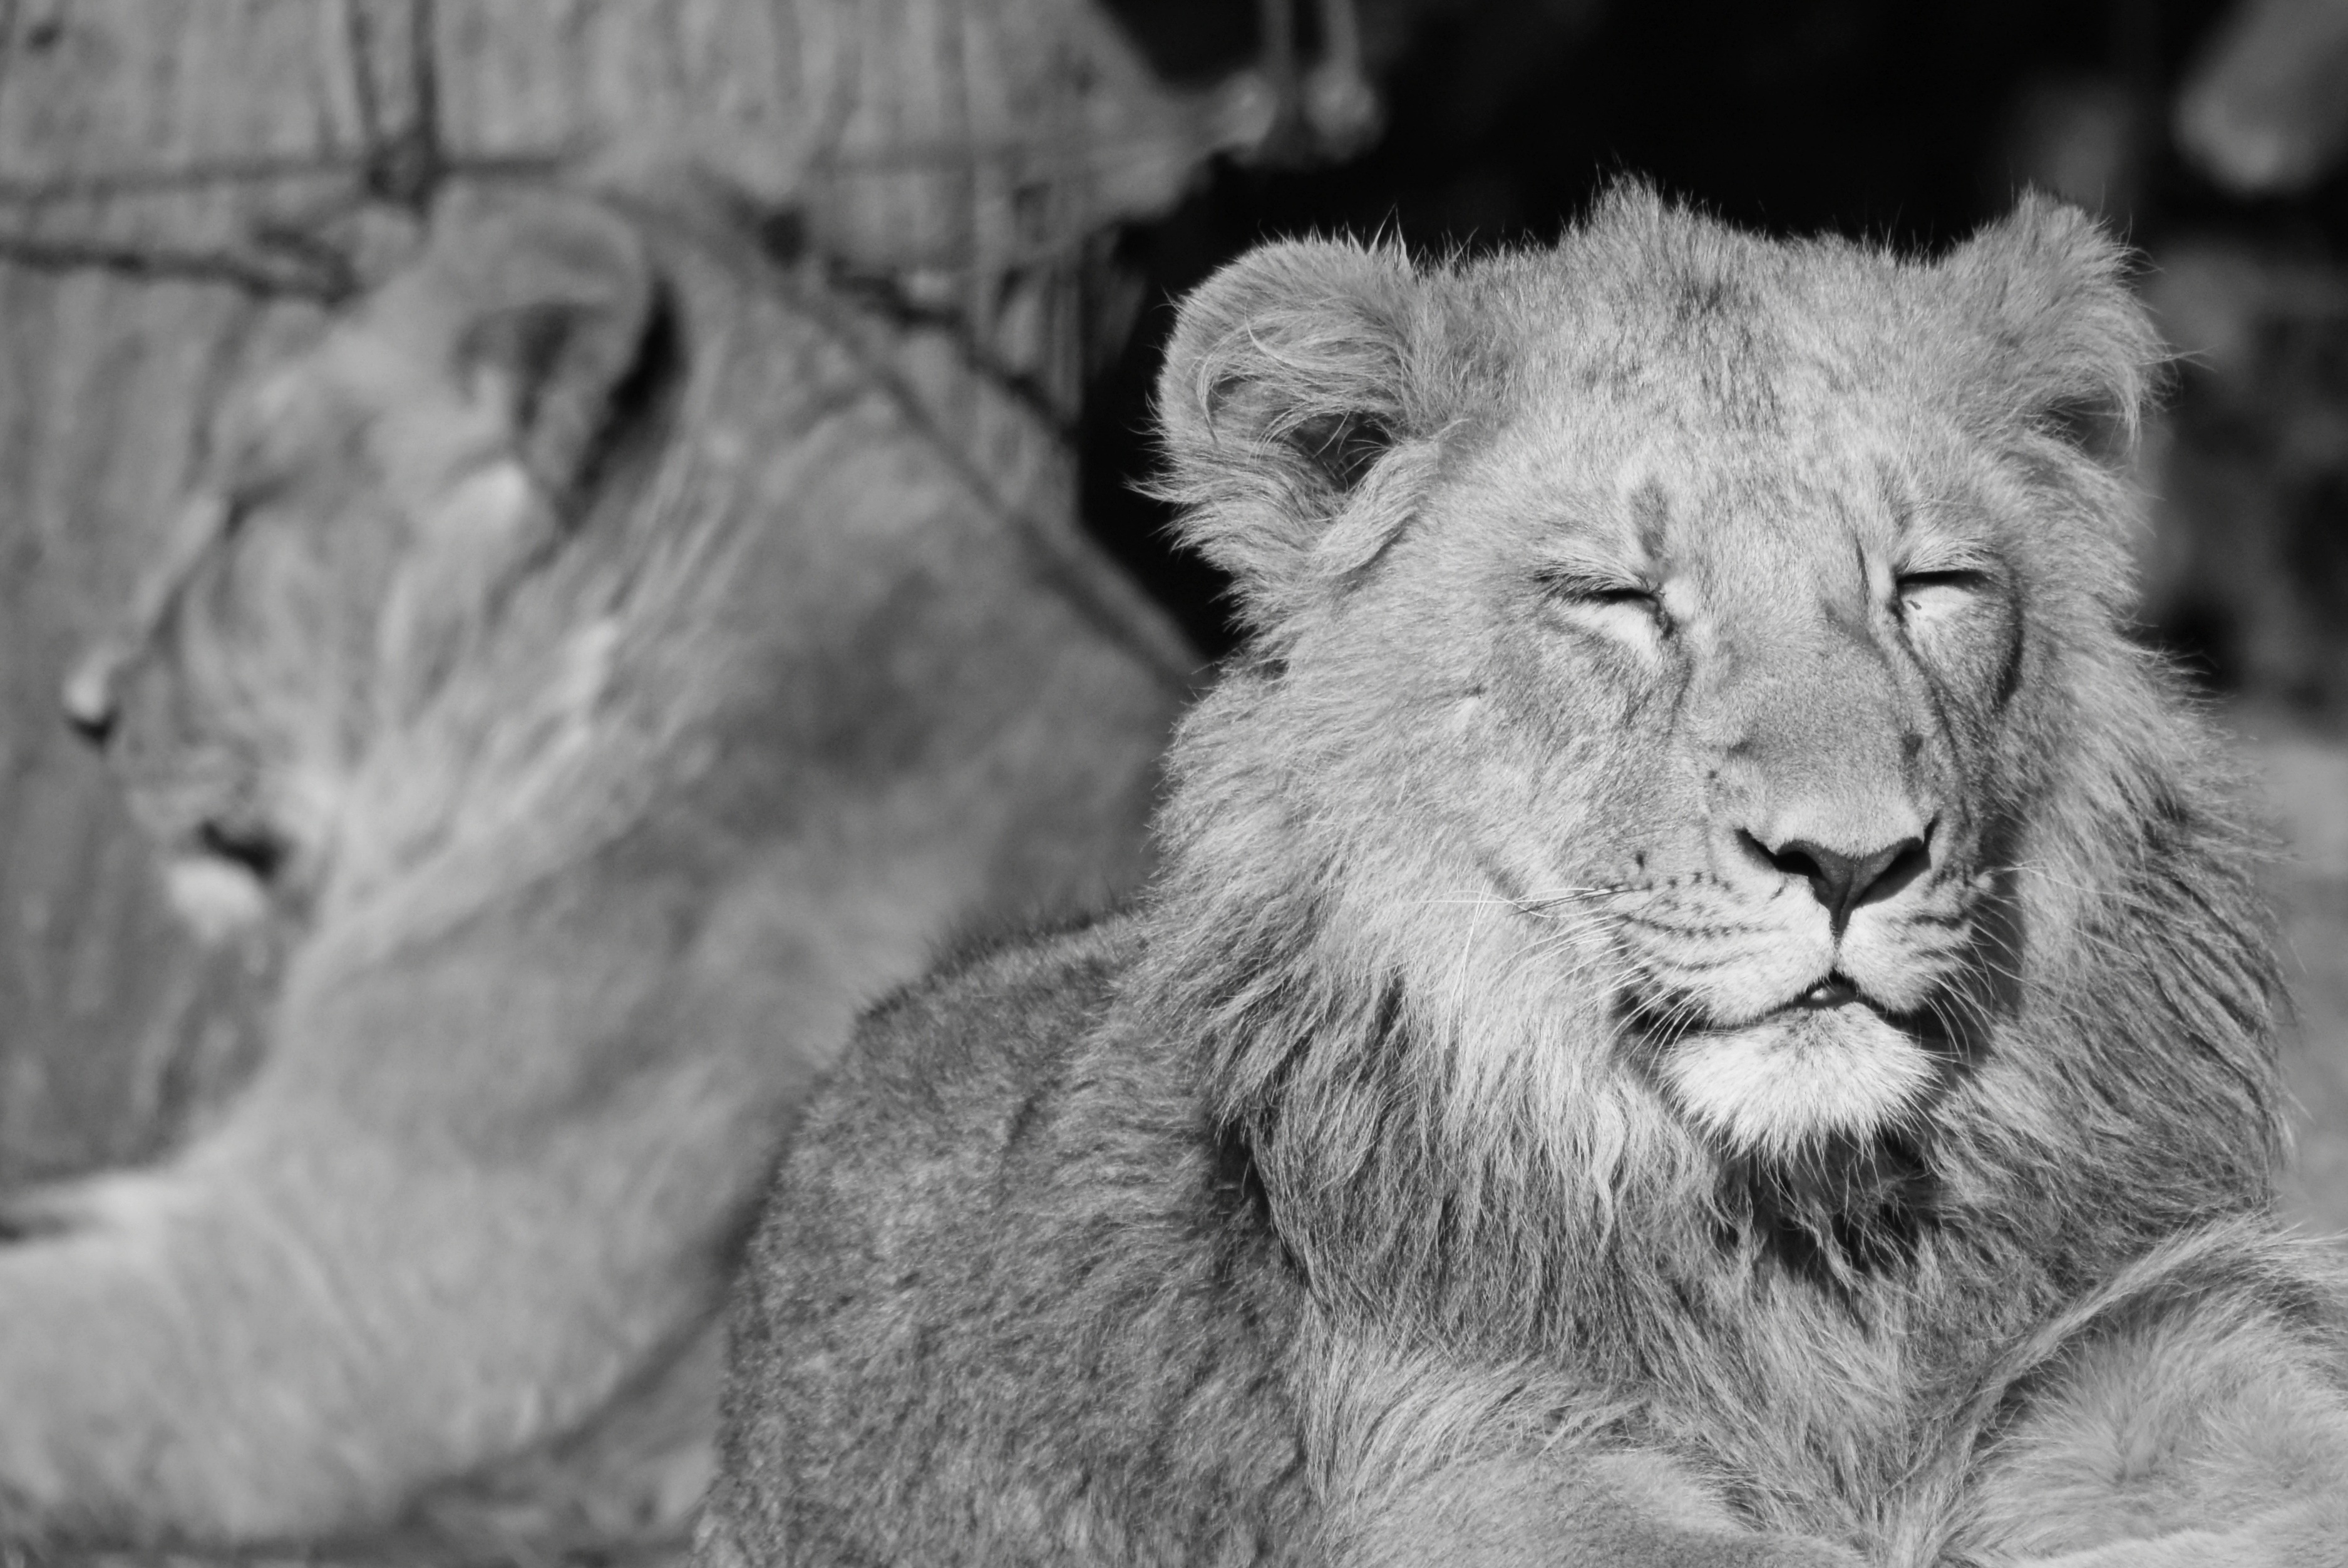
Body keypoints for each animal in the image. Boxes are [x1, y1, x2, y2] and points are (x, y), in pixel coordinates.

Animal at [695, 188, 2348, 1568]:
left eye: (1930, 585)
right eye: (1616, 599)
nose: (1848, 855)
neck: (1812, 1238)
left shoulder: (2168, 1338)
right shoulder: (1467, 1468)